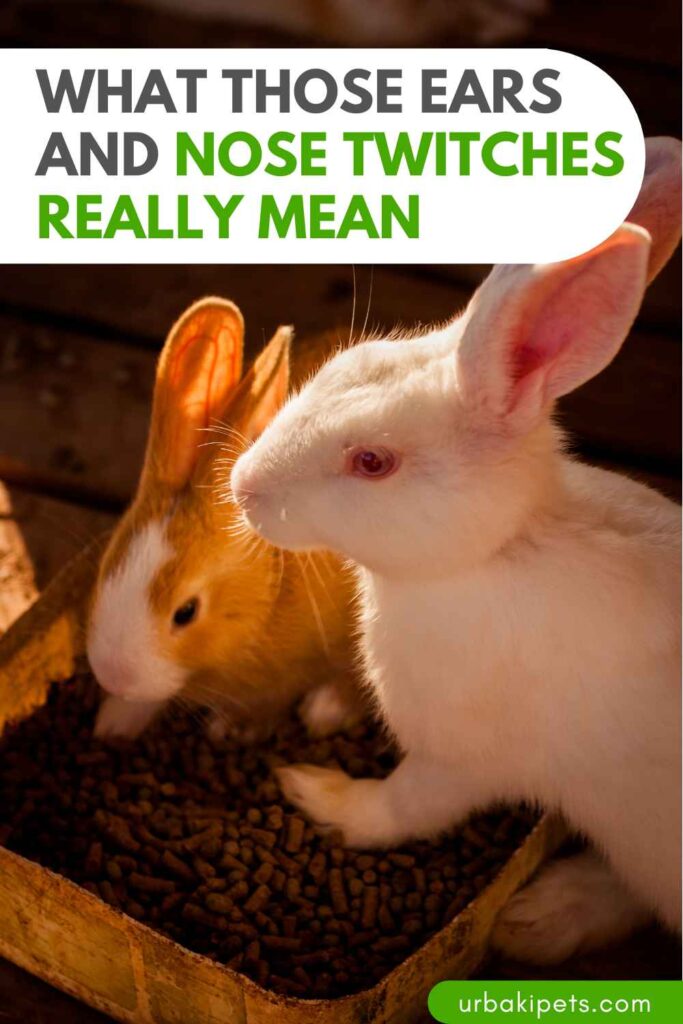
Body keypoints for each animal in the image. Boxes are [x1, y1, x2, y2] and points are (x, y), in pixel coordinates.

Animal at [230, 136, 682, 964]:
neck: (494, 551)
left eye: (372, 462)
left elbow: (403, 809)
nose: (242, 486)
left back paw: (534, 919)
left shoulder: (461, 761)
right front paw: (323, 711)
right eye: (341, 366)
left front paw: (317, 793)